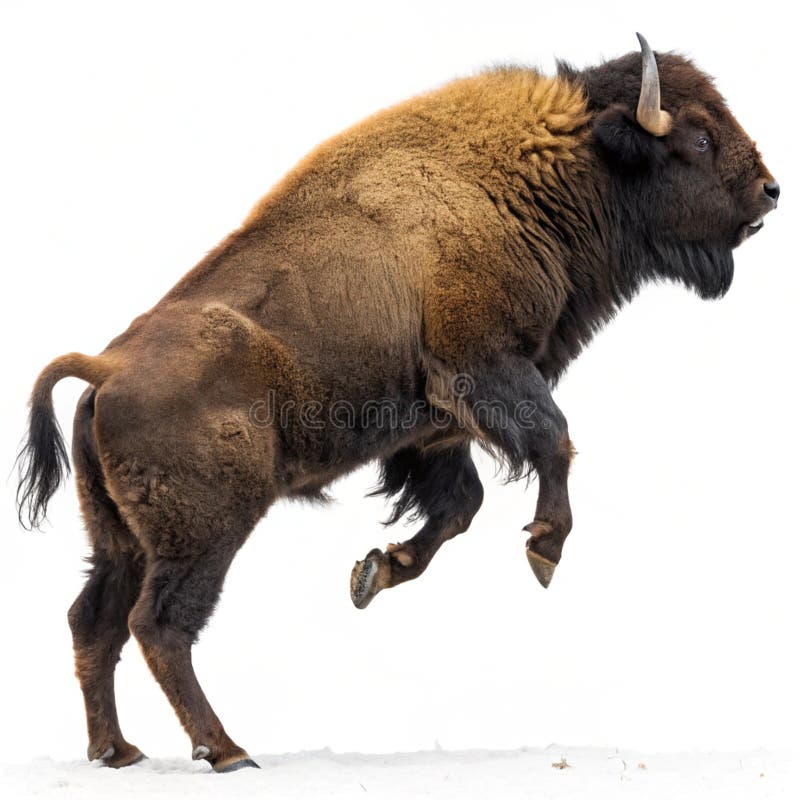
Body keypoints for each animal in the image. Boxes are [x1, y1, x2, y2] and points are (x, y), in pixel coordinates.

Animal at [17, 34, 777, 771]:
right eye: (699, 137)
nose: (771, 191)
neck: (548, 169)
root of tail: (107, 367)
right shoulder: (485, 367)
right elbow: (553, 444)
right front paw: (544, 549)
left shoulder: (436, 429)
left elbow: (460, 506)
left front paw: (375, 570)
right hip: (203, 533)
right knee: (160, 624)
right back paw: (226, 751)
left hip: (119, 539)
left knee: (94, 621)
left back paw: (116, 751)